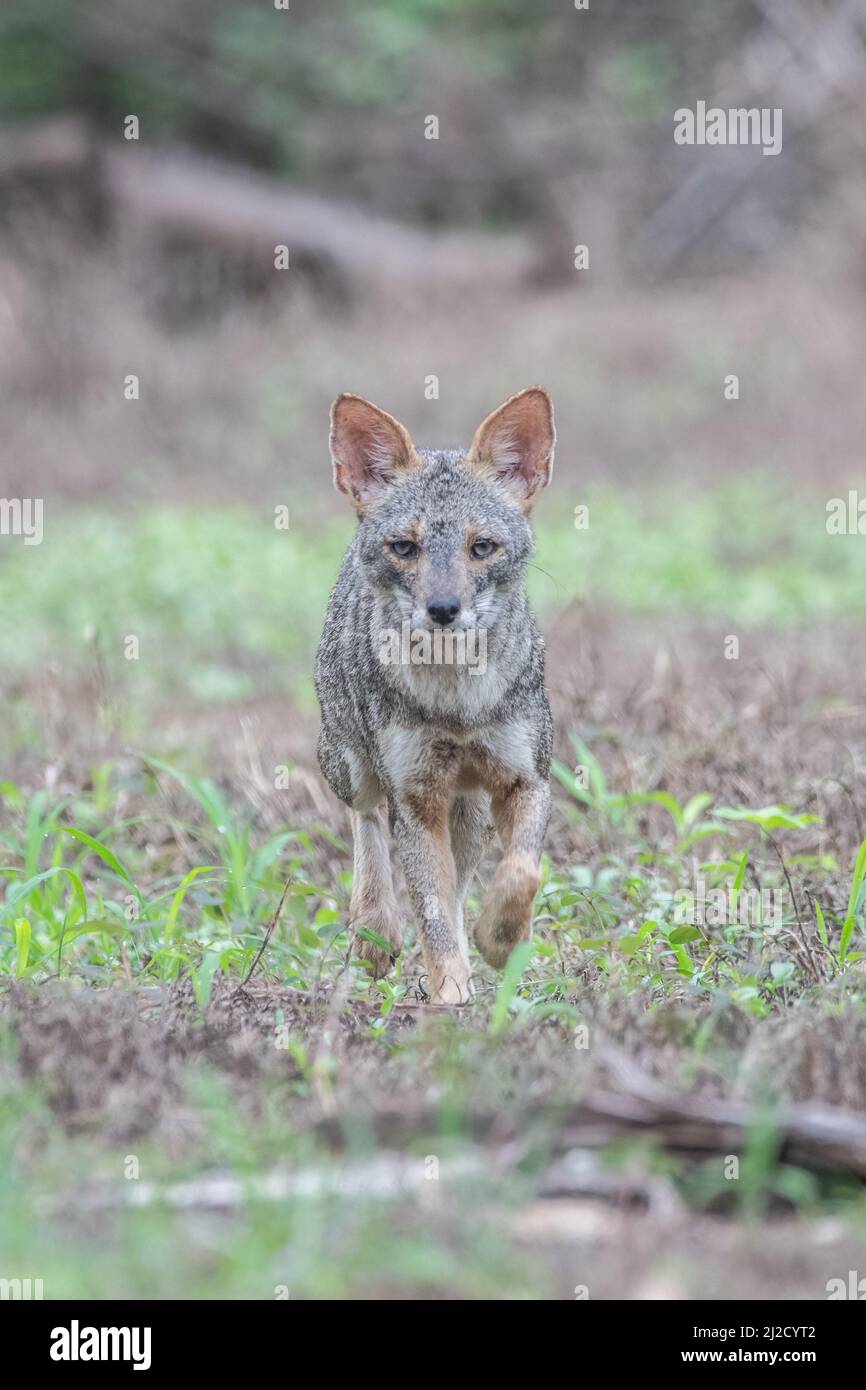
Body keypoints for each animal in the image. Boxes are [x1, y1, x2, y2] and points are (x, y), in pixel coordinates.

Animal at [315, 388, 555, 1005]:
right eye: (405, 547)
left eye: (482, 547)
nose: (443, 609)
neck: (457, 703)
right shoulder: (415, 797)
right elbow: (431, 912)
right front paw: (450, 995)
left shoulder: (527, 778)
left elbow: (521, 873)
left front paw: (500, 940)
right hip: (353, 766)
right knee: (367, 824)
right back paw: (374, 933)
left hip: (469, 809)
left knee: (462, 877)